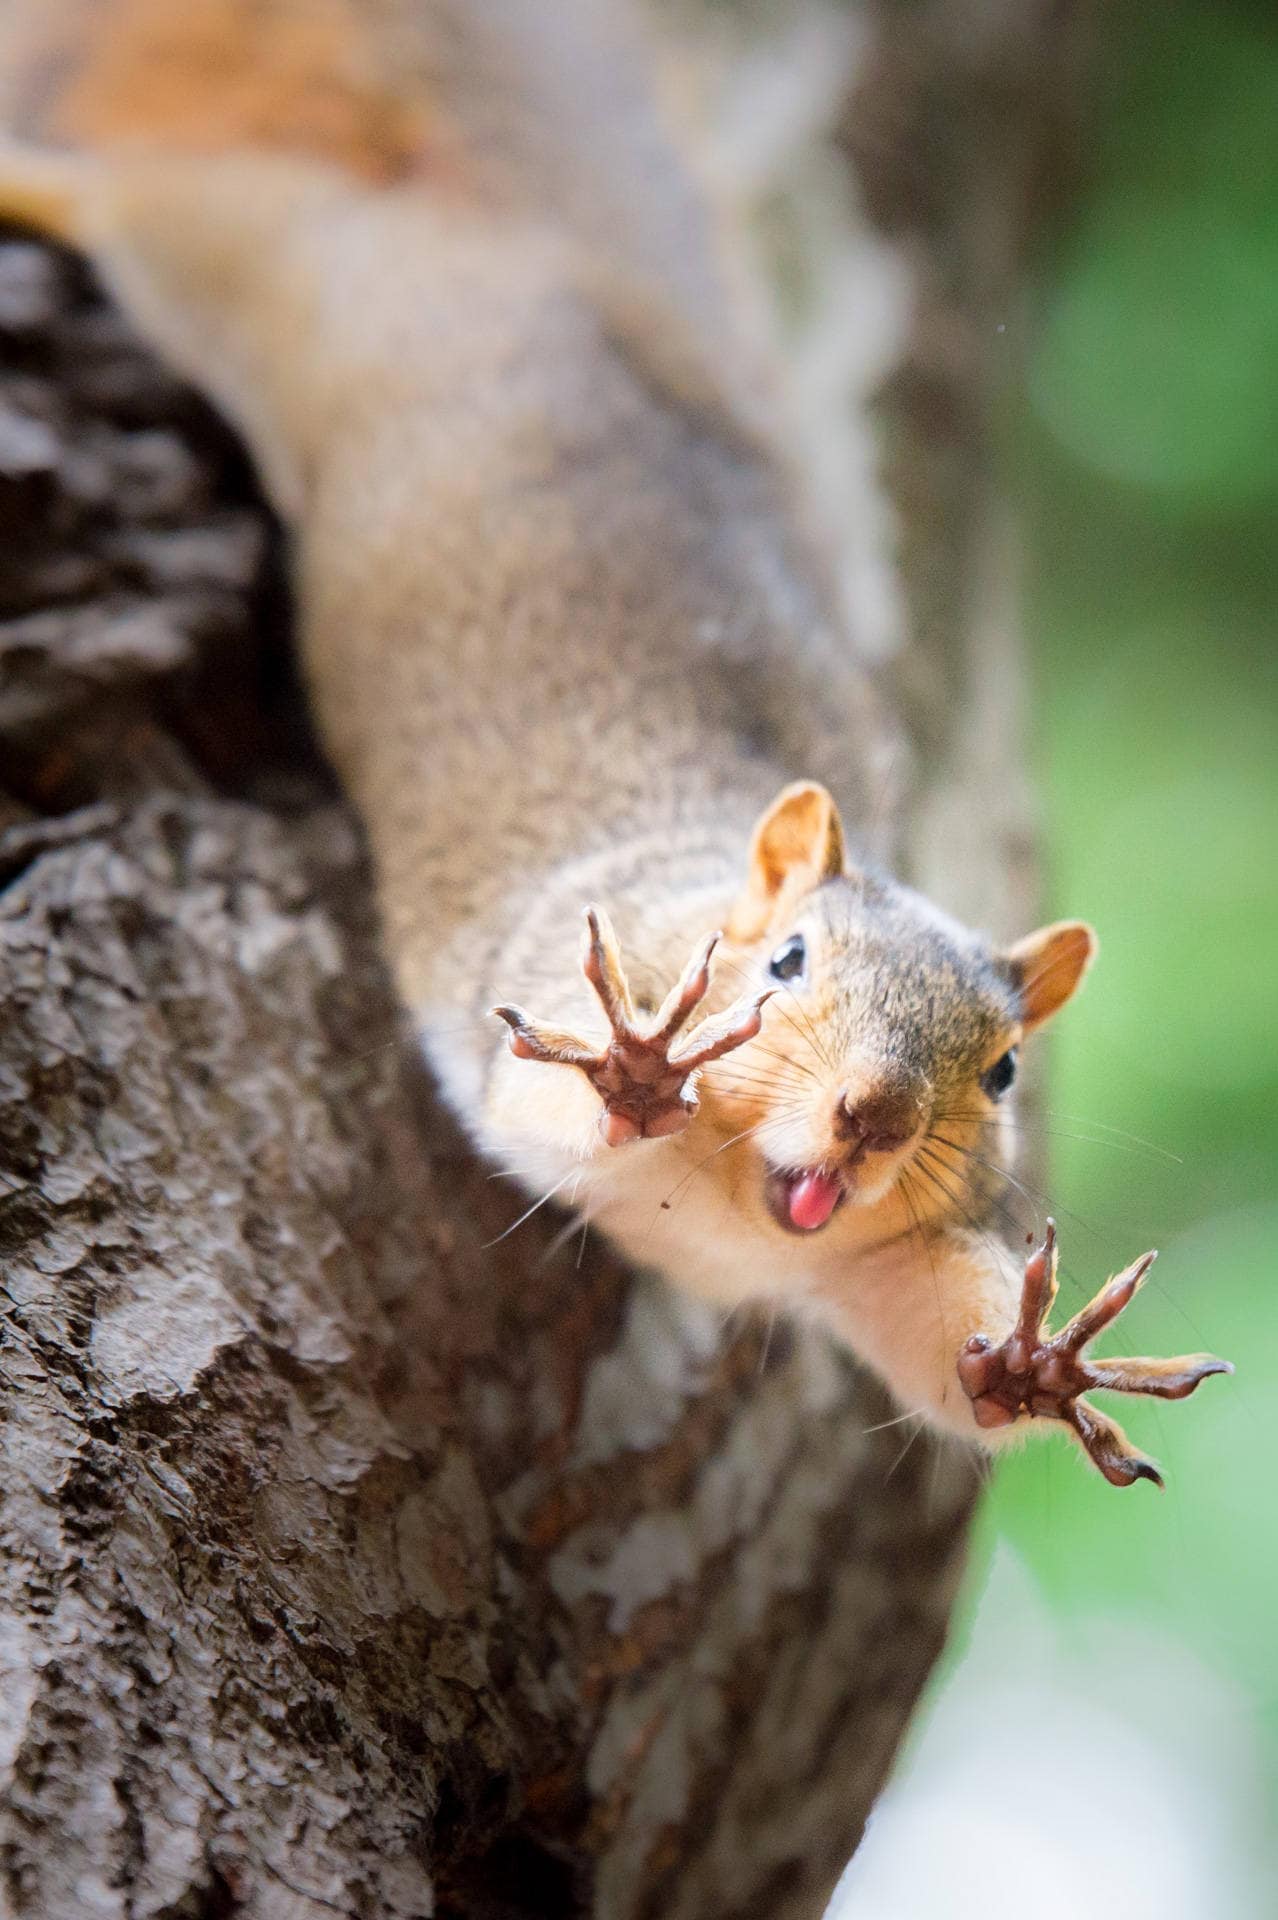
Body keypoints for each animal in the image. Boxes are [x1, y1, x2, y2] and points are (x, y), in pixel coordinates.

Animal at [0, 0, 1229, 1486]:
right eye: (783, 961)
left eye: (999, 1071)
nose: (873, 1117)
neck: (744, 1199)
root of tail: (531, 239)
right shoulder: (557, 966)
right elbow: (549, 1095)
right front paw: (641, 1071)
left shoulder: (889, 1259)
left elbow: (945, 1352)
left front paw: (1037, 1368)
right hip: (239, 247)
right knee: (142, 193)